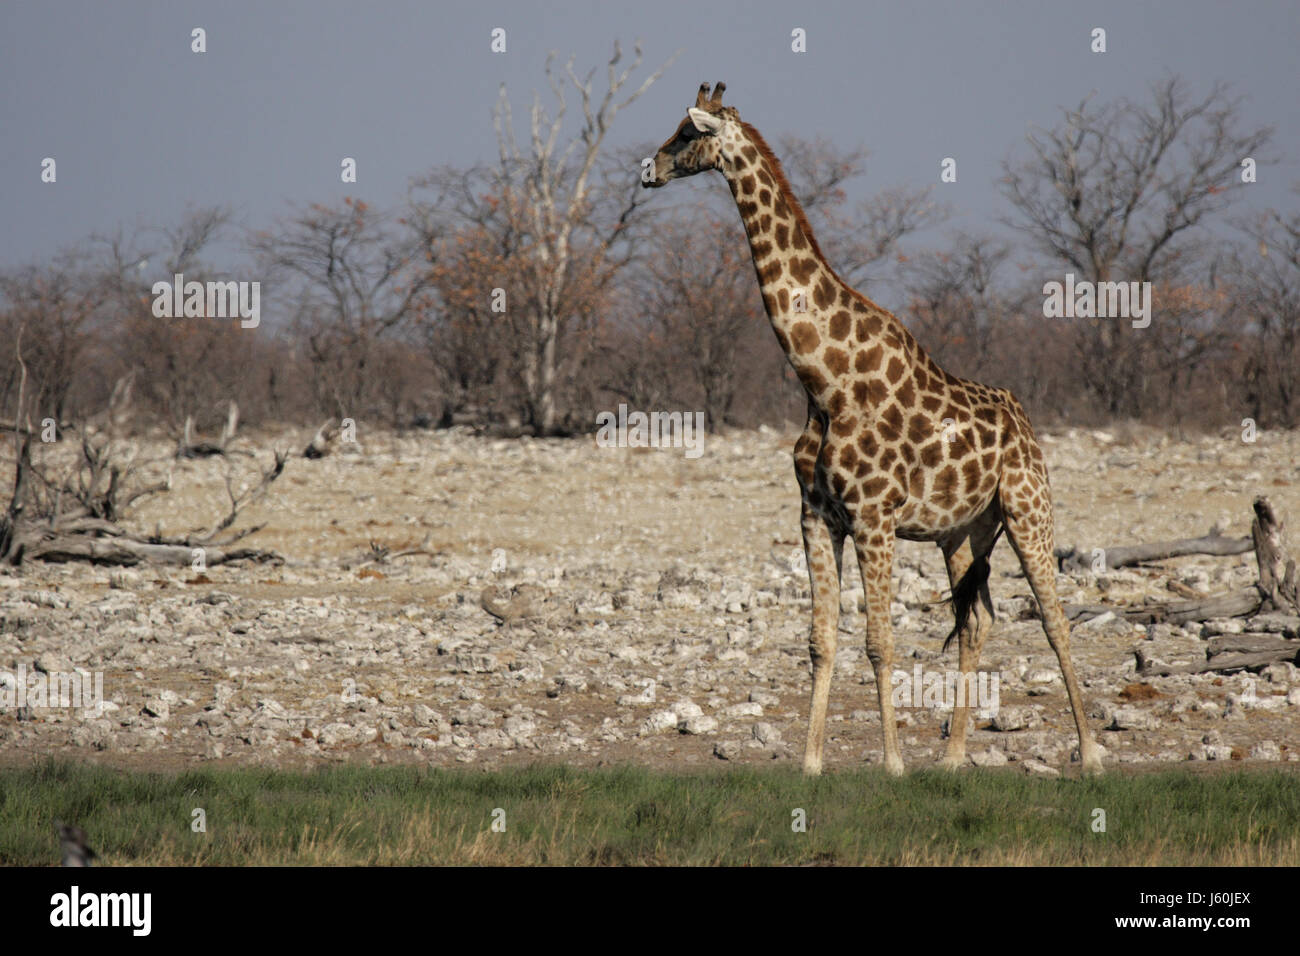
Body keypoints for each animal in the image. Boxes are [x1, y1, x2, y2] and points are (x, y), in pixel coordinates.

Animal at [644, 83, 1103, 776]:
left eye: (686, 131)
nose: (648, 169)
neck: (823, 380)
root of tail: (1026, 424)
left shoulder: (873, 517)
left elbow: (880, 641)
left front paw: (891, 763)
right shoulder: (816, 516)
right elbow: (820, 640)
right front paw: (811, 765)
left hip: (1028, 508)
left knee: (1055, 619)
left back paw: (1091, 755)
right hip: (963, 532)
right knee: (978, 620)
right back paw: (953, 758)